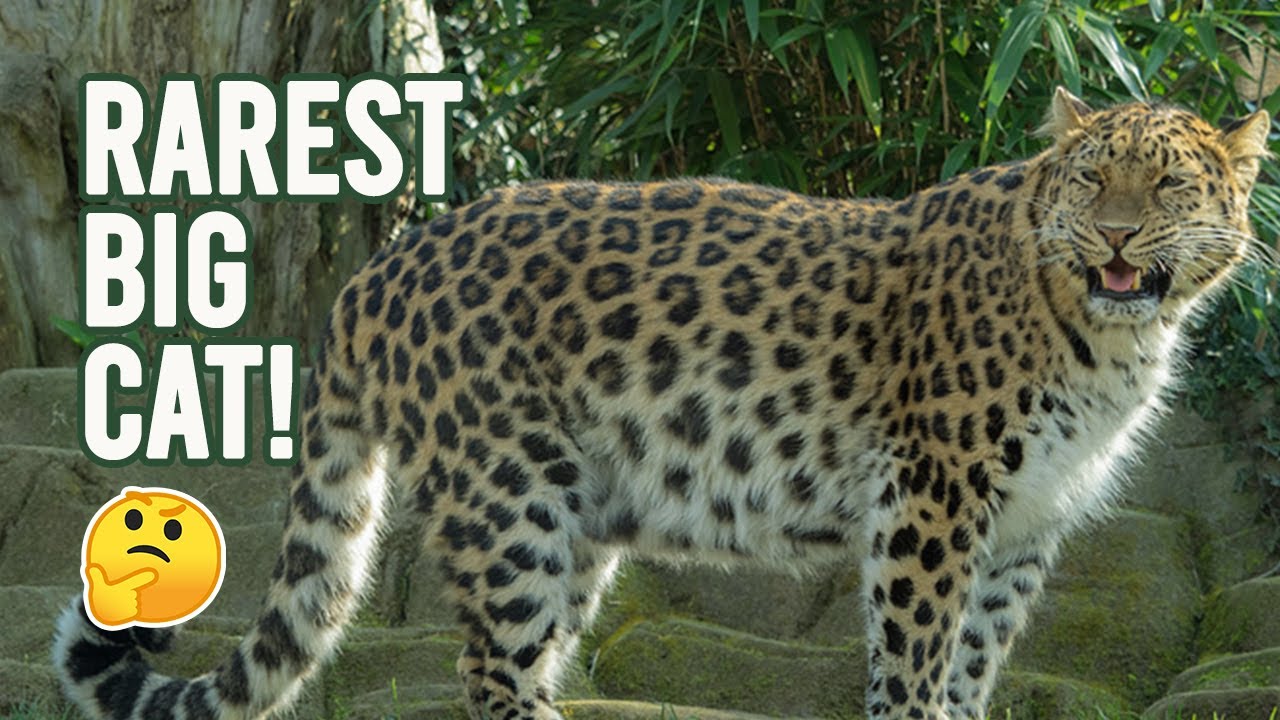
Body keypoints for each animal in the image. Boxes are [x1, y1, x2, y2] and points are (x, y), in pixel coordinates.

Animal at [54, 88, 1272, 720]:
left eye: (1168, 184)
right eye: (1091, 178)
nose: (1116, 234)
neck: (1111, 339)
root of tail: (382, 267)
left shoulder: (1022, 527)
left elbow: (972, 667)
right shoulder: (931, 502)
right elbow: (915, 663)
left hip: (576, 512)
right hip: (509, 498)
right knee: (489, 668)